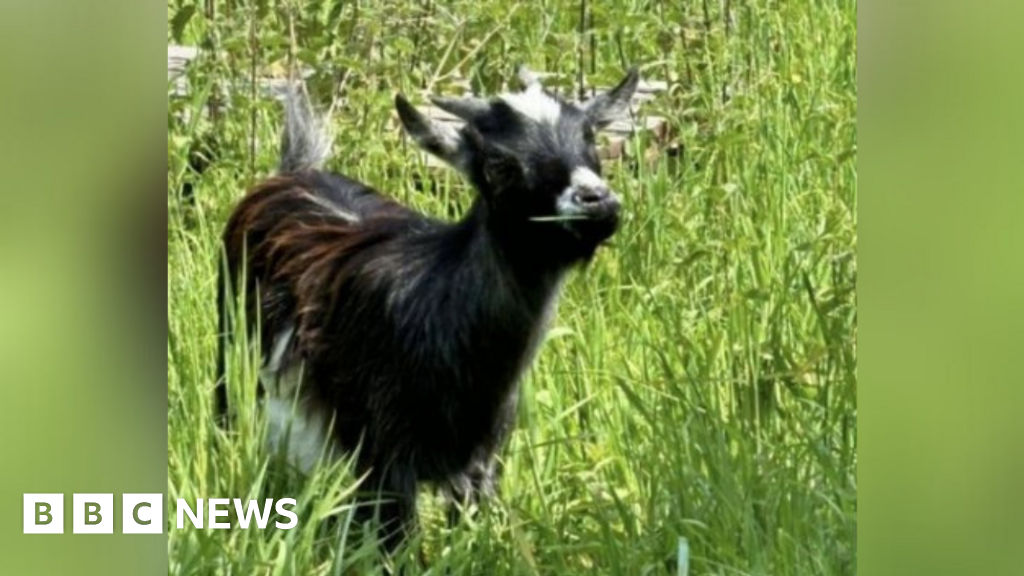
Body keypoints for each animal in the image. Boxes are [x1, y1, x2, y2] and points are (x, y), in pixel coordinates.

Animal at [216, 66, 640, 551]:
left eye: (589, 137)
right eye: (498, 163)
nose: (596, 201)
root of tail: (290, 173)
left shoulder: (481, 463)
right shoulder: (385, 456)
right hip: (232, 356)